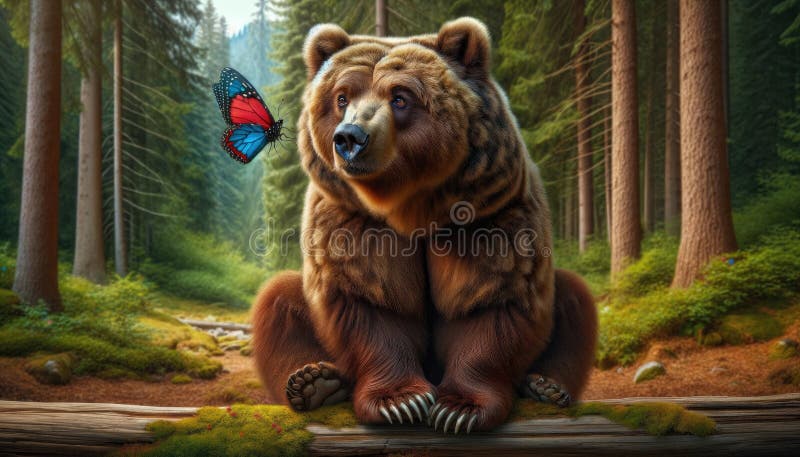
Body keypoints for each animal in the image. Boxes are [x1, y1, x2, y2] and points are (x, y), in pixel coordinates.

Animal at [251, 17, 597, 434]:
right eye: (342, 97)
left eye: (400, 97)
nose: (350, 138)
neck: (410, 208)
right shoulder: (354, 222)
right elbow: (371, 301)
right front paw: (400, 401)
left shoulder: (488, 214)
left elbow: (489, 298)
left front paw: (459, 409)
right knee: (278, 298)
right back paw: (313, 382)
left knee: (574, 297)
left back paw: (548, 386)